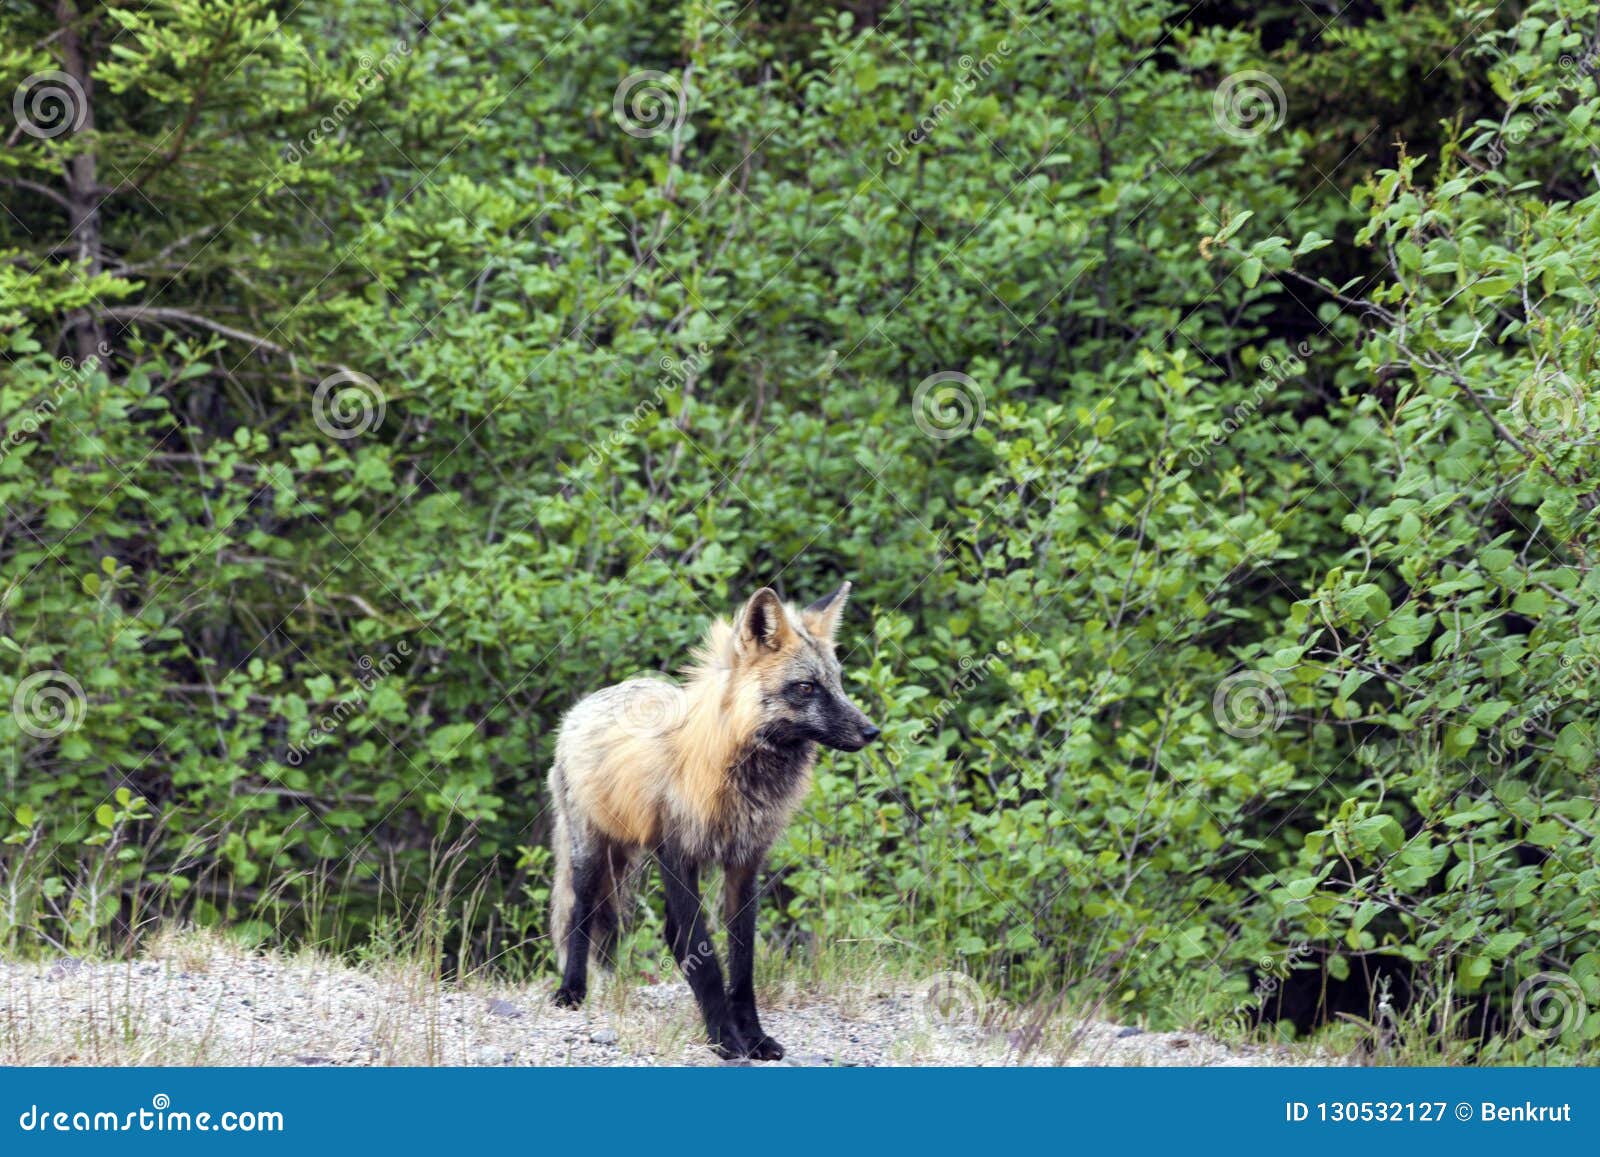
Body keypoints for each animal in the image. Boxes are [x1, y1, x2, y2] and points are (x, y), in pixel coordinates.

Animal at [546, 581, 878, 1060]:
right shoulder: (677, 855)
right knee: (581, 915)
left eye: (838, 682)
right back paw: (571, 990)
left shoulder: (744, 863)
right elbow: (705, 960)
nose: (872, 732)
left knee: (669, 932)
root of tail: (581, 706)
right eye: (806, 687)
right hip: (592, 852)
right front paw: (723, 1037)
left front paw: (753, 1036)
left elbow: (741, 965)